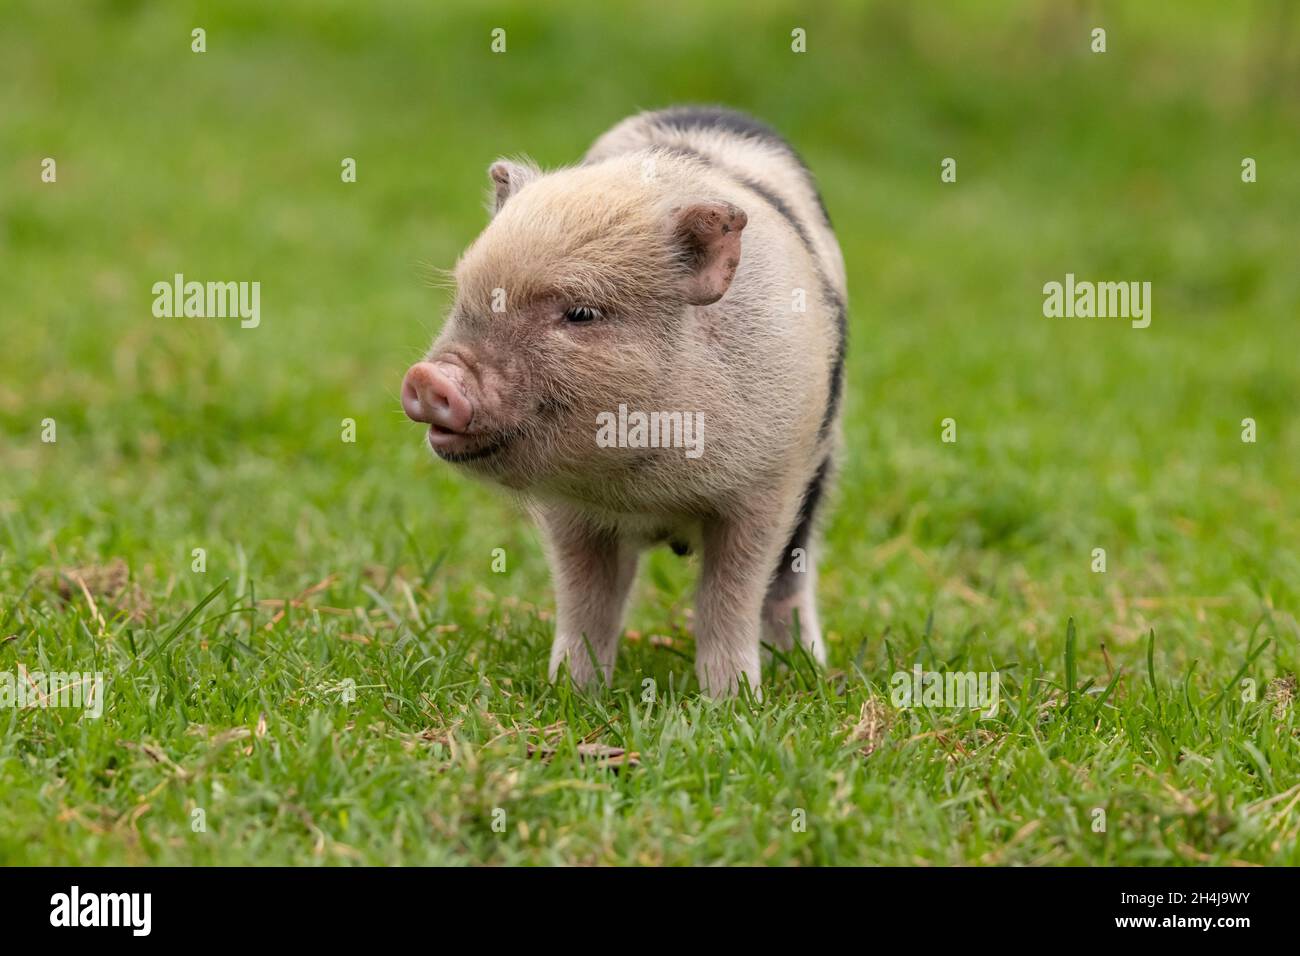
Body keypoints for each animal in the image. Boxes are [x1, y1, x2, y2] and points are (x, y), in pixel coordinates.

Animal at [401, 106, 847, 696]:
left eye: (582, 314)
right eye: (464, 296)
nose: (430, 377)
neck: (647, 484)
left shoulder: (769, 483)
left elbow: (730, 596)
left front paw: (732, 701)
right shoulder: (570, 510)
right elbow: (586, 600)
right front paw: (572, 693)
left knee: (791, 573)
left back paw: (808, 666)